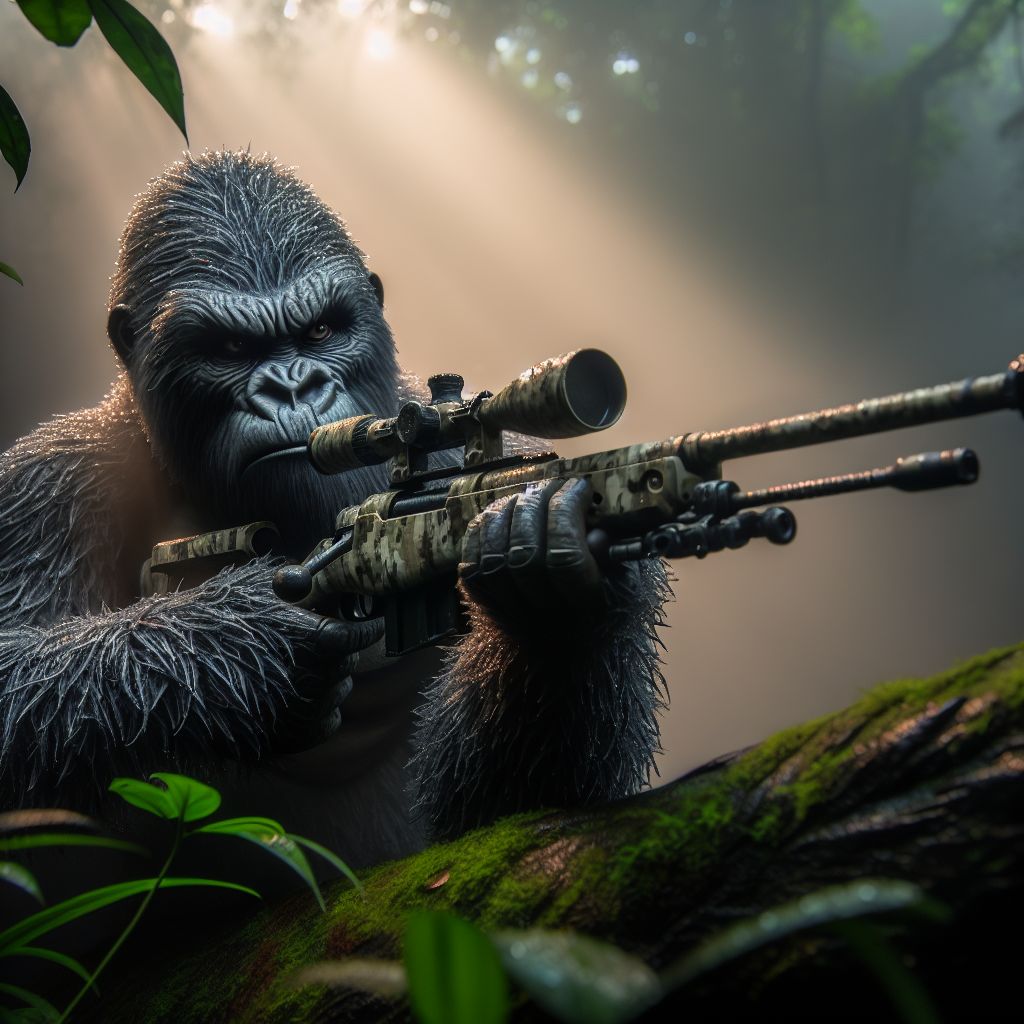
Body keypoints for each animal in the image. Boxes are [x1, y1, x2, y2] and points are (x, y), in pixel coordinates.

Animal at [0, 150, 668, 871]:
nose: (295, 388)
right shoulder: (47, 480)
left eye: (320, 330)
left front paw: (557, 612)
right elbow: (14, 668)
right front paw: (249, 640)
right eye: (231, 350)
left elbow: (501, 812)